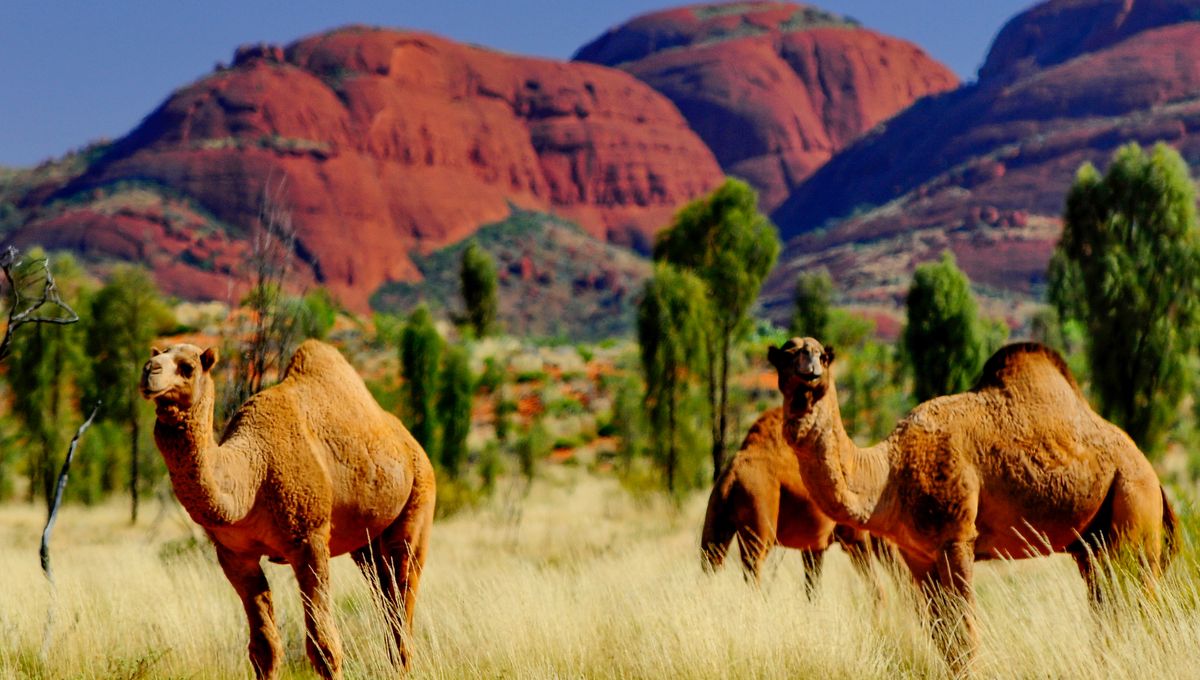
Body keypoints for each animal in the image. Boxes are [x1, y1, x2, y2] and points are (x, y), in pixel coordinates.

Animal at [140, 340, 436, 680]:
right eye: (156, 356)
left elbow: (323, 646)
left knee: (402, 601)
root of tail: (410, 442)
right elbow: (264, 648)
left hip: (418, 503)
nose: (149, 371)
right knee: (386, 601)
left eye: (187, 367)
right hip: (367, 546)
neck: (253, 472)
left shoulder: (309, 538)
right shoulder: (234, 554)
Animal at [701, 407, 893, 596]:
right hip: (759, 524)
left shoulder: (814, 546)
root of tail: (731, 477)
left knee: (710, 562)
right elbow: (875, 589)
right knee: (753, 572)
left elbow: (812, 590)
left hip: (716, 520)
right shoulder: (854, 537)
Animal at [768, 337, 1178, 673]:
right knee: (1108, 606)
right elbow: (942, 636)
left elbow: (964, 634)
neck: (889, 475)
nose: (809, 370)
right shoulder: (917, 555)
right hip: (1093, 543)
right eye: (786, 355)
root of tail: (1154, 476)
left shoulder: (957, 538)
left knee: (1141, 603)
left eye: (822, 356)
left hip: (1134, 509)